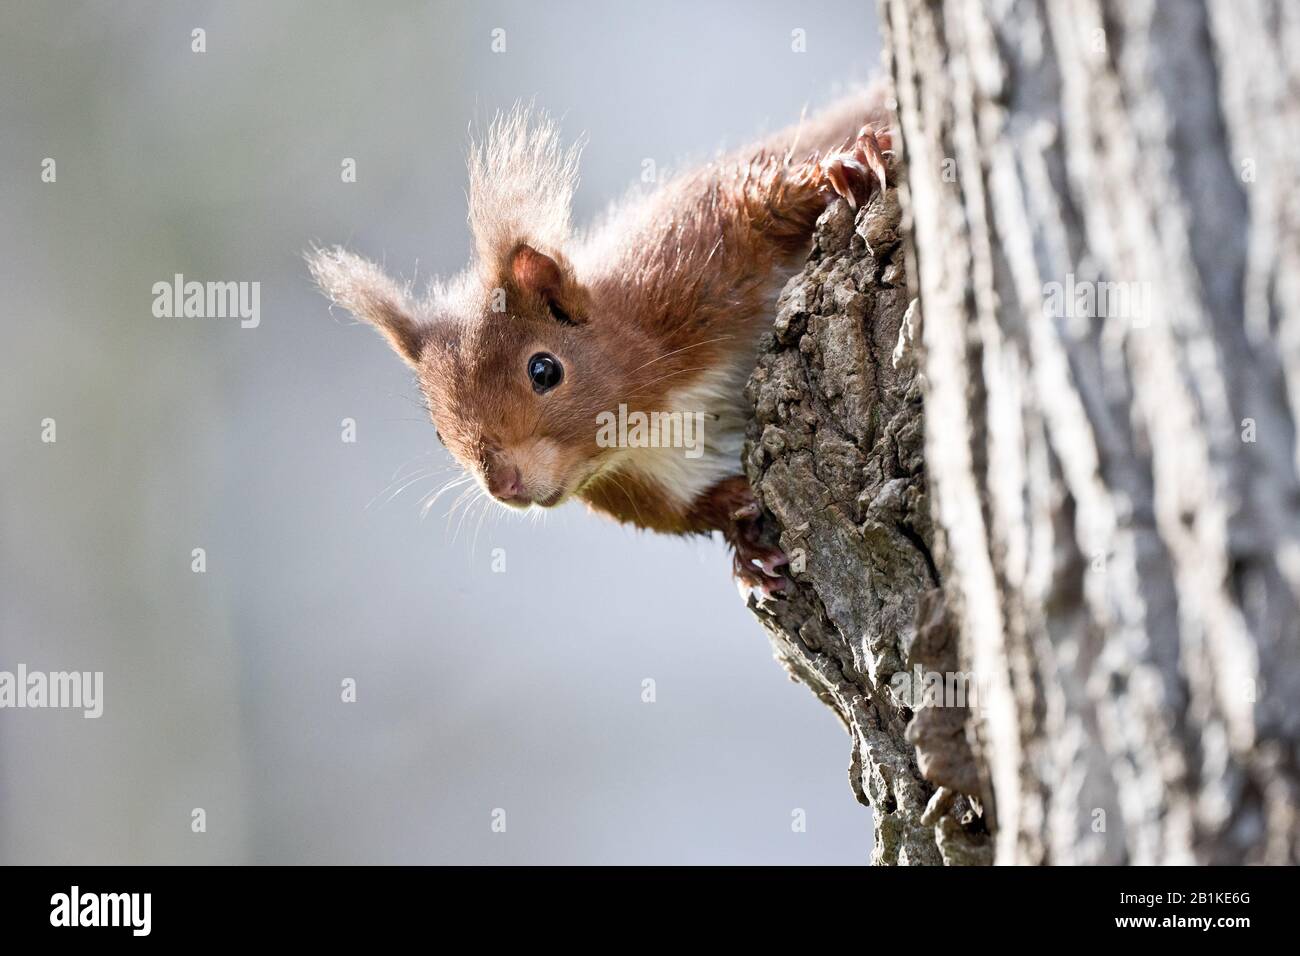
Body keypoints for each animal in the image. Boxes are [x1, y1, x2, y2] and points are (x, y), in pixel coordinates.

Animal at [309, 86, 892, 595]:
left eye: (544, 370)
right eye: (436, 431)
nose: (503, 484)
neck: (654, 409)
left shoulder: (693, 252)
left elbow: (769, 201)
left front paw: (845, 165)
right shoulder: (645, 484)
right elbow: (693, 510)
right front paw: (745, 543)